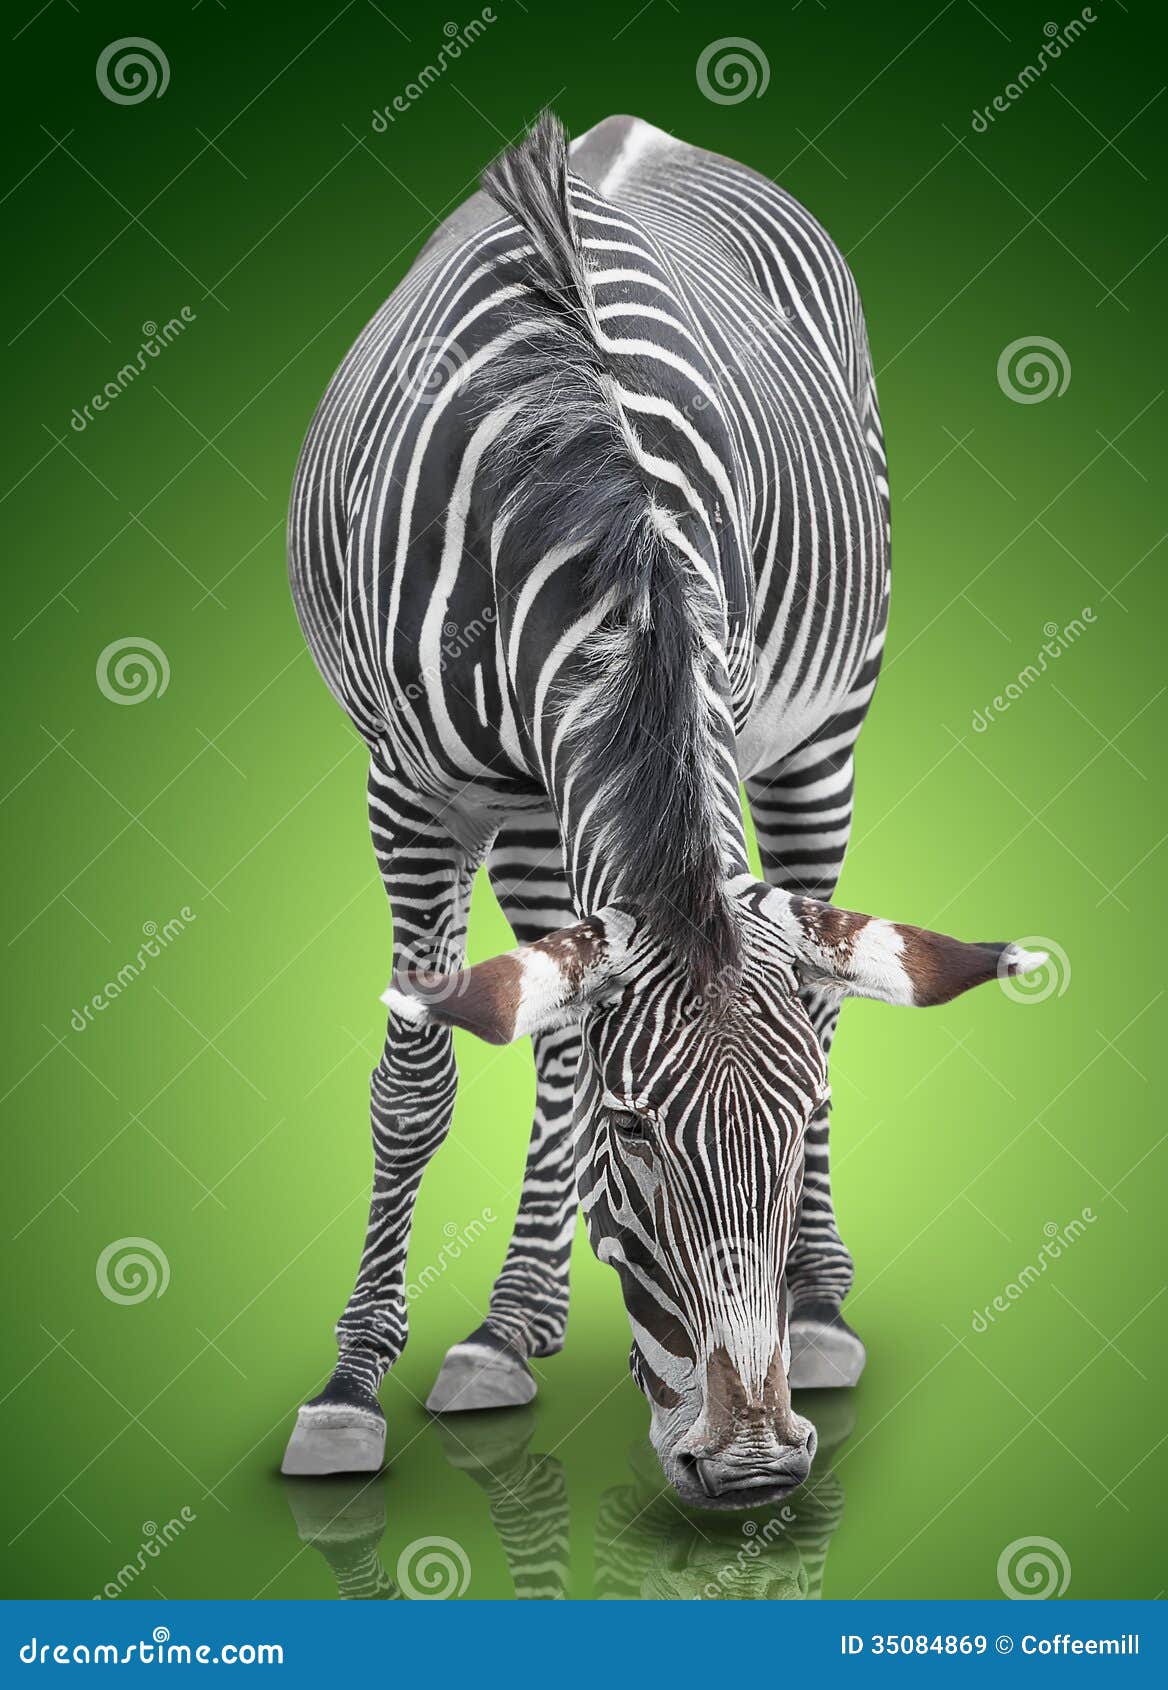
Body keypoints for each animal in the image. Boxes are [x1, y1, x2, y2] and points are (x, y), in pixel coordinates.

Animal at [282, 113, 1045, 1507]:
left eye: (790, 1127)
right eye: (632, 1138)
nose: (752, 1471)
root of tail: (635, 131)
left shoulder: (720, 702)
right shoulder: (409, 790)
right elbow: (418, 1080)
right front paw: (351, 1383)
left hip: (822, 728)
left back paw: (814, 1305)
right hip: (536, 812)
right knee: (551, 1026)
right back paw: (508, 1327)